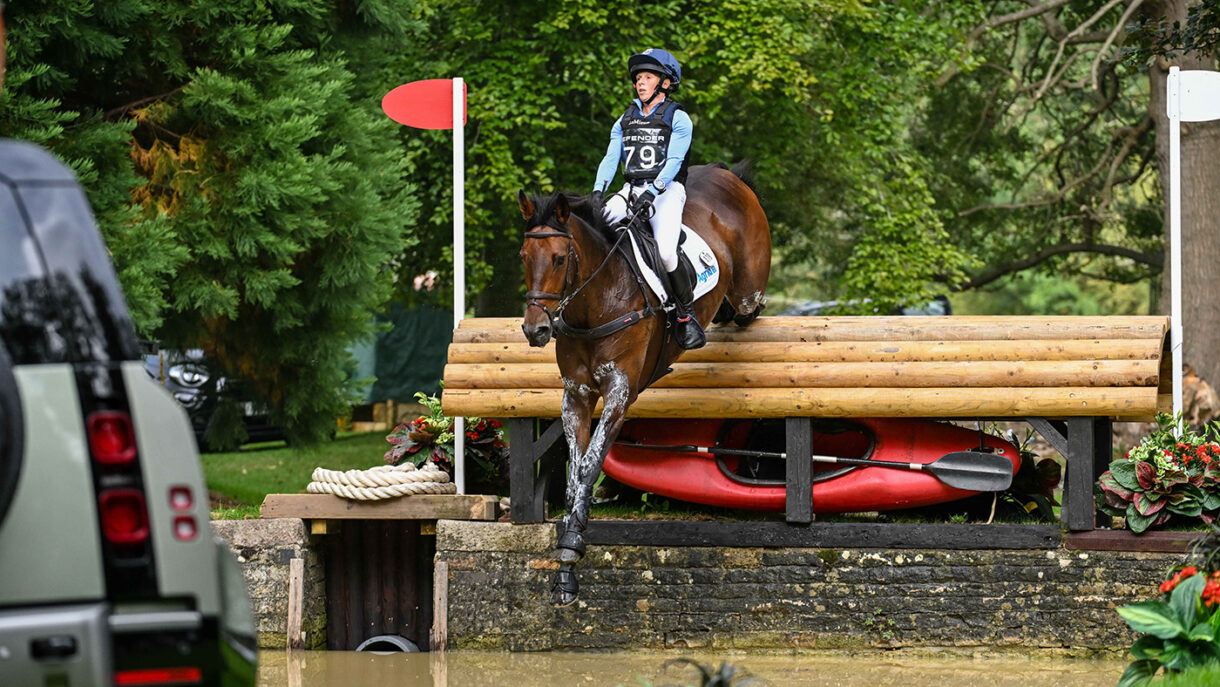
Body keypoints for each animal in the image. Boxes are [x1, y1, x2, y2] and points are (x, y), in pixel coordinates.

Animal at [517, 163, 771, 606]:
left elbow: (589, 465)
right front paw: (565, 571)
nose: (536, 330)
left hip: (748, 288)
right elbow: (573, 473)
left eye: (560, 258)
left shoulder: (620, 393)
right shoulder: (576, 397)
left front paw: (572, 545)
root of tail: (723, 173)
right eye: (524, 257)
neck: (595, 303)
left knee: (748, 307)